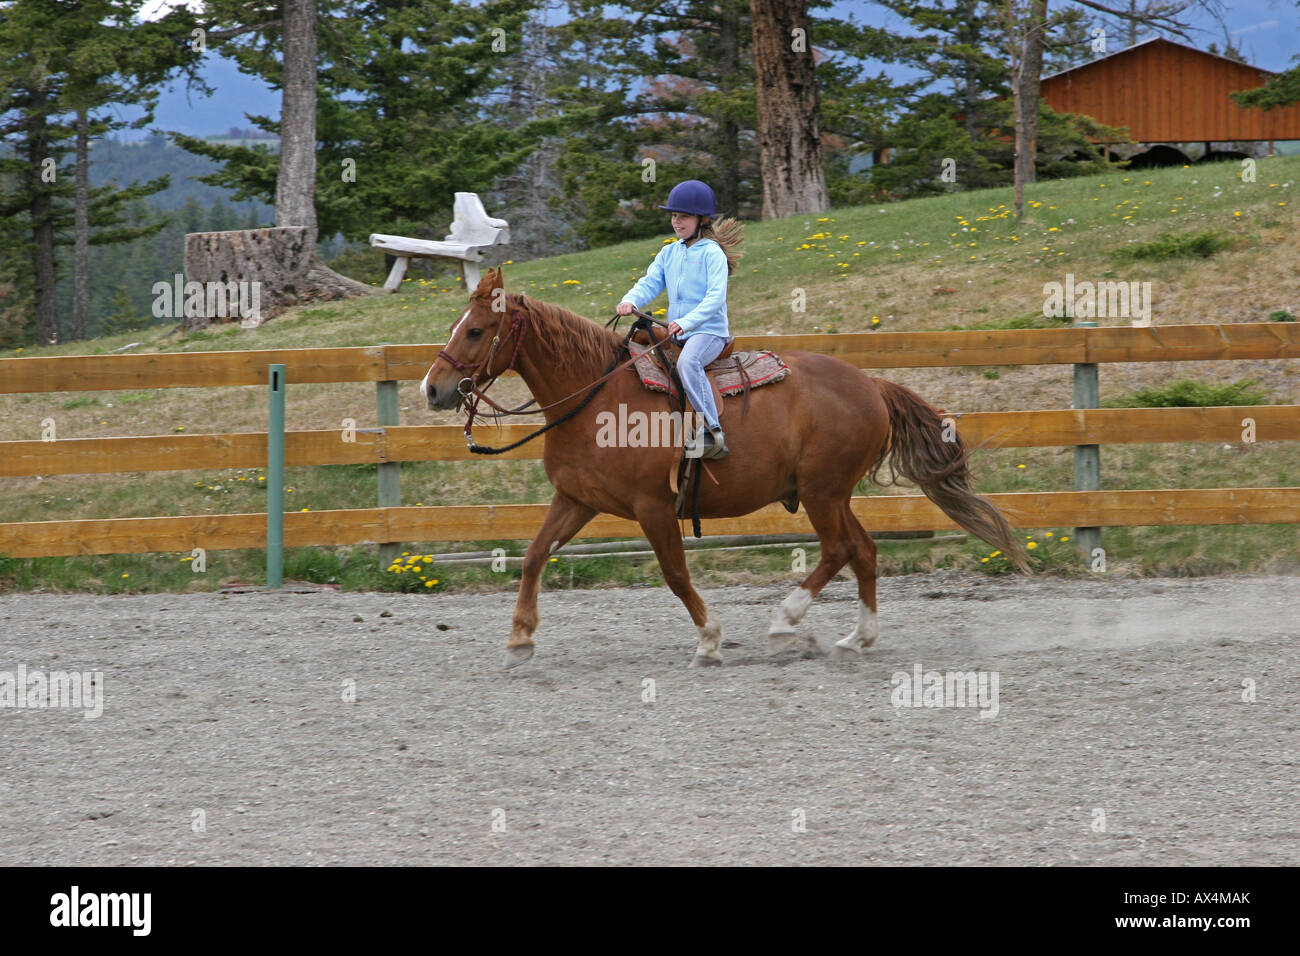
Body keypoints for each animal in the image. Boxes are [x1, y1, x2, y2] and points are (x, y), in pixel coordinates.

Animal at [421, 267, 1028, 668]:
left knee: (839, 549)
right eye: (455, 323)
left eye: (476, 330)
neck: (596, 398)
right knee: (864, 550)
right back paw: (858, 638)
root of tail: (872, 385)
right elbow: (532, 556)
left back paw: (786, 622)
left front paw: (710, 639)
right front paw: (520, 639)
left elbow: (675, 575)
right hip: (831, 493)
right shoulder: (576, 501)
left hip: (822, 492)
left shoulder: (652, 508)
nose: (433, 388)